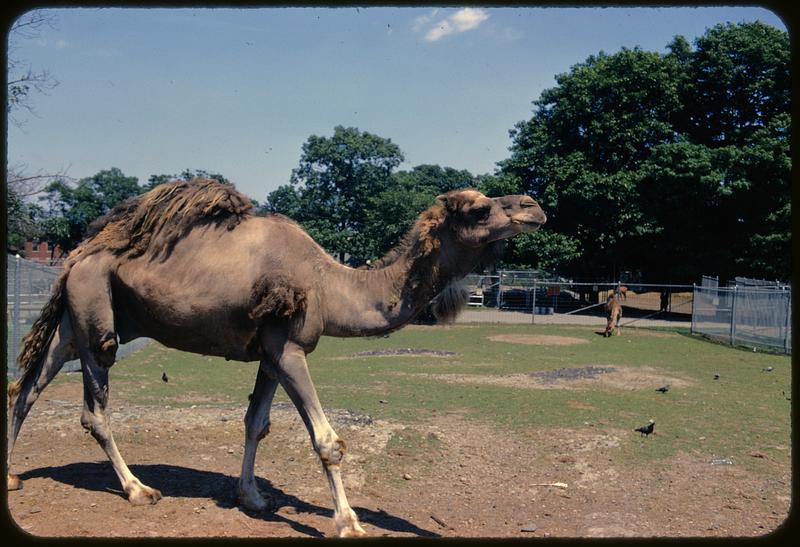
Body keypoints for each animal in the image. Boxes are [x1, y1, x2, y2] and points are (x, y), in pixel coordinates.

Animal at [7, 178, 546, 537]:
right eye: (478, 210)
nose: (534, 207)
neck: (331, 285)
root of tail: (75, 255)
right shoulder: (289, 347)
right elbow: (327, 441)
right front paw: (349, 522)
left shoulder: (267, 351)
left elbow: (256, 424)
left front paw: (252, 497)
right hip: (95, 316)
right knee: (93, 410)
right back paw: (139, 489)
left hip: (75, 321)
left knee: (25, 389)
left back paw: (11, 476)